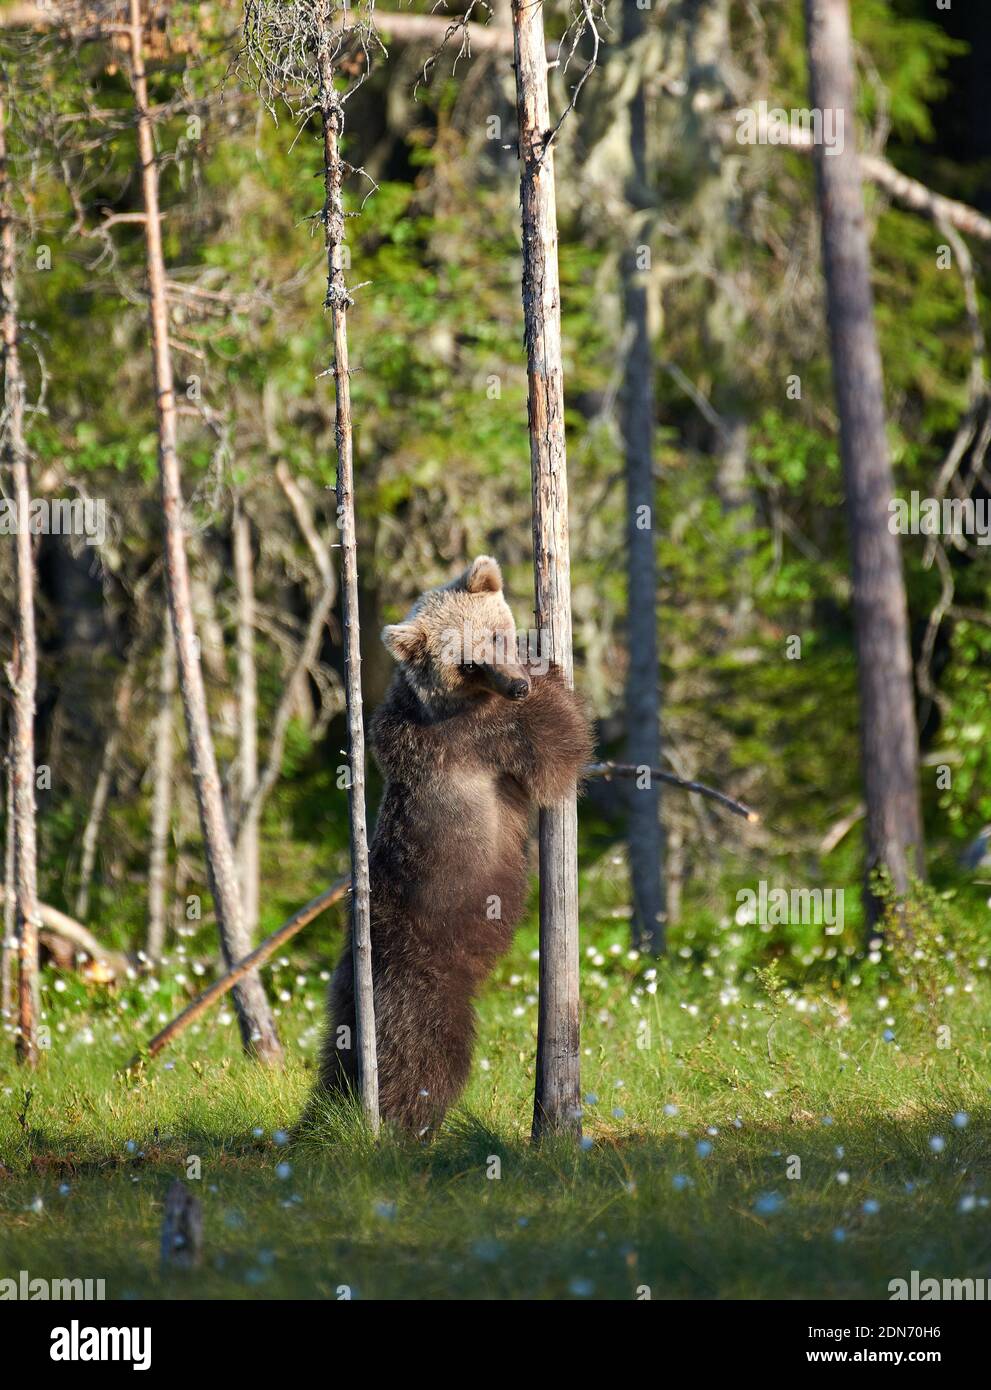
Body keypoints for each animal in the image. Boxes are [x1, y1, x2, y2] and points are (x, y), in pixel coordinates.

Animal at [312, 555, 593, 1137]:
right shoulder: (480, 741)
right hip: (424, 981)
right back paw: (400, 1123)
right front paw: (552, 678)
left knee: (338, 1052)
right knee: (427, 1054)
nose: (515, 686)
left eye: (497, 633)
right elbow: (559, 752)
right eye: (467, 662)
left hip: (346, 997)